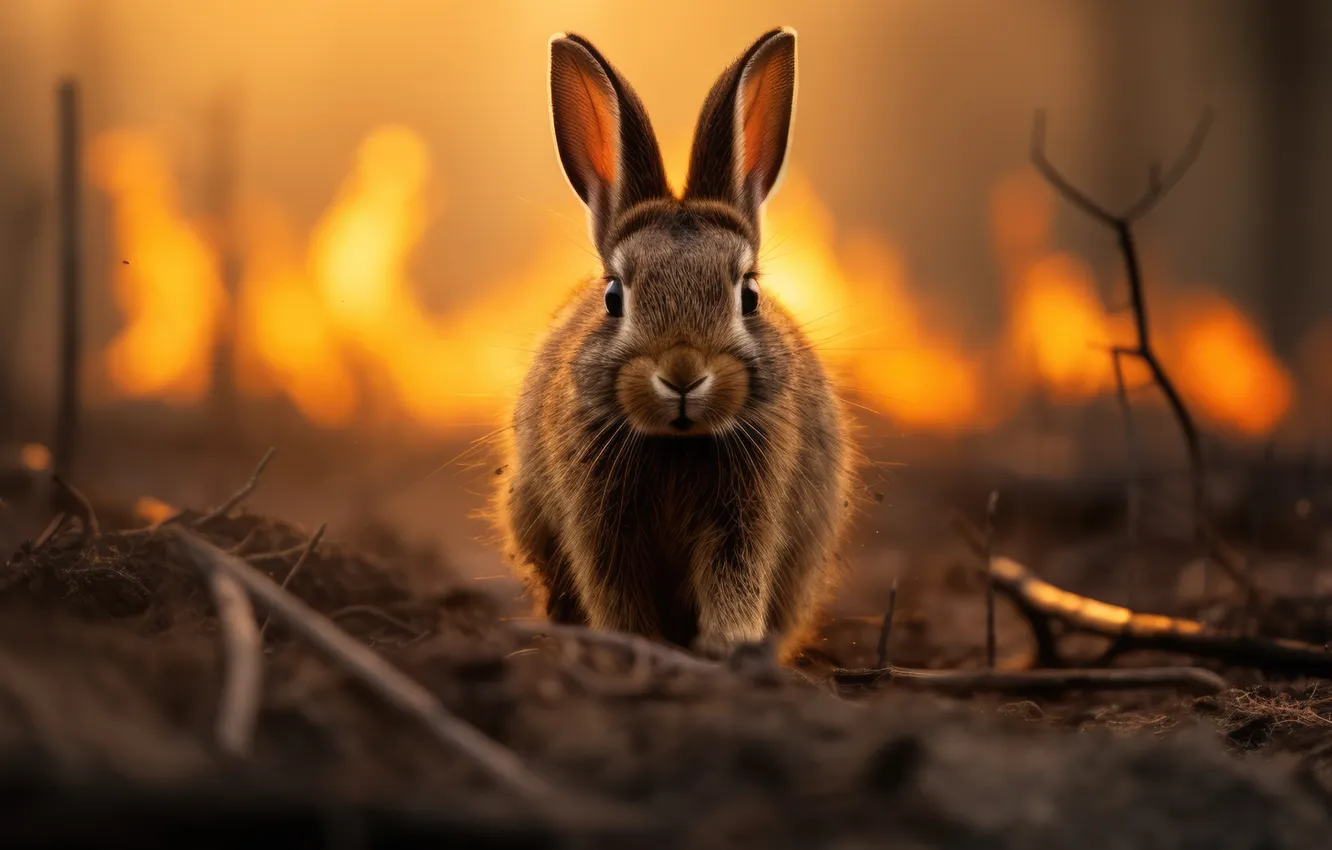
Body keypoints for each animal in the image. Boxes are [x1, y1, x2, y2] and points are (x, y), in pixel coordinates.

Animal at [495, 26, 855, 662]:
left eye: (749, 295)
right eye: (614, 296)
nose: (683, 374)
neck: (676, 444)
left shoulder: (745, 516)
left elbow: (734, 574)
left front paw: (729, 646)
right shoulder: (599, 521)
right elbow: (612, 583)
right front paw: (634, 645)